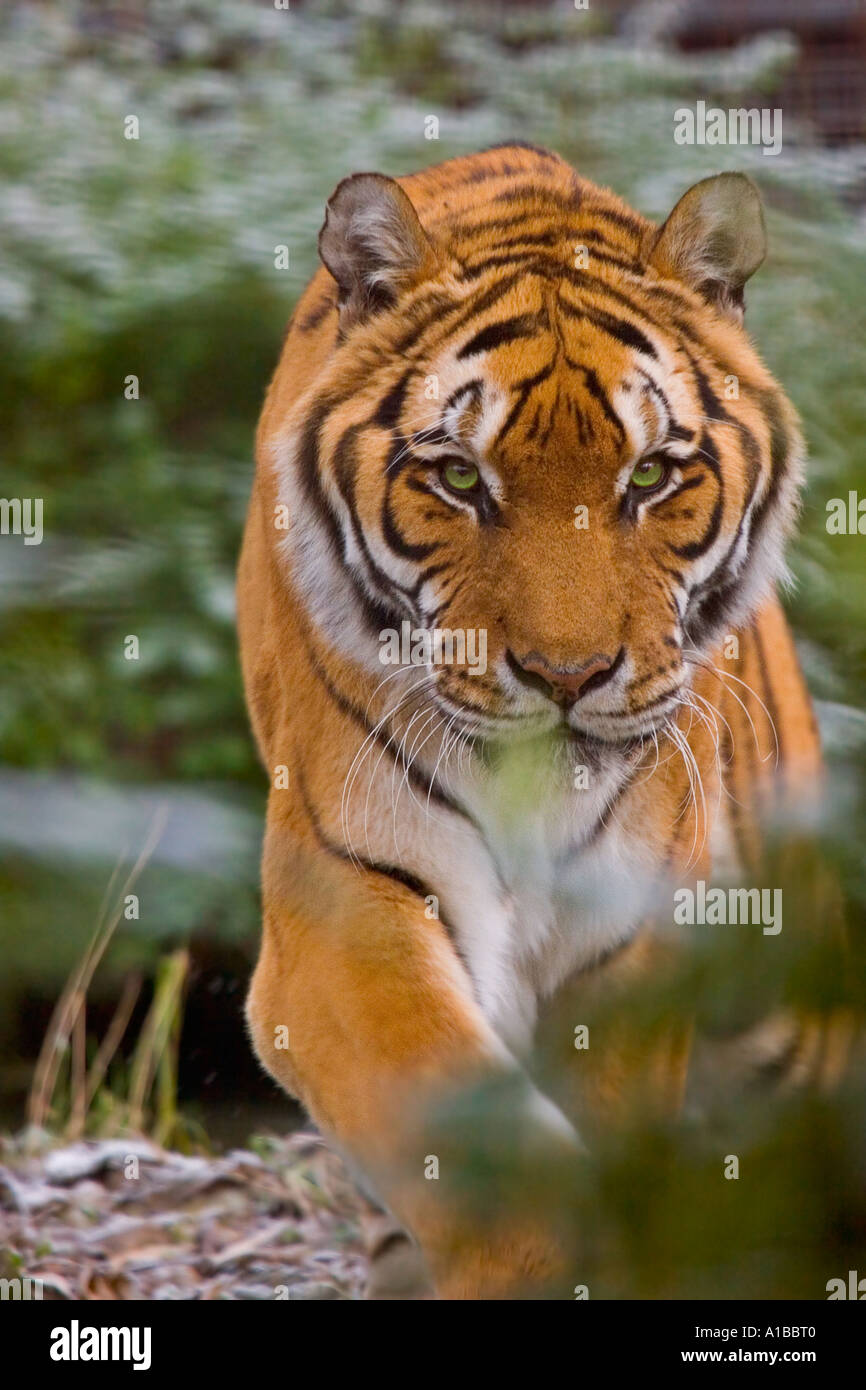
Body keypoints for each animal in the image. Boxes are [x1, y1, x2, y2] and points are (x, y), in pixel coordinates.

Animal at [237, 142, 847, 1300]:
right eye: (456, 477)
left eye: (650, 475)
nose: (567, 675)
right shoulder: (343, 899)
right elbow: (477, 1142)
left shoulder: (632, 934)